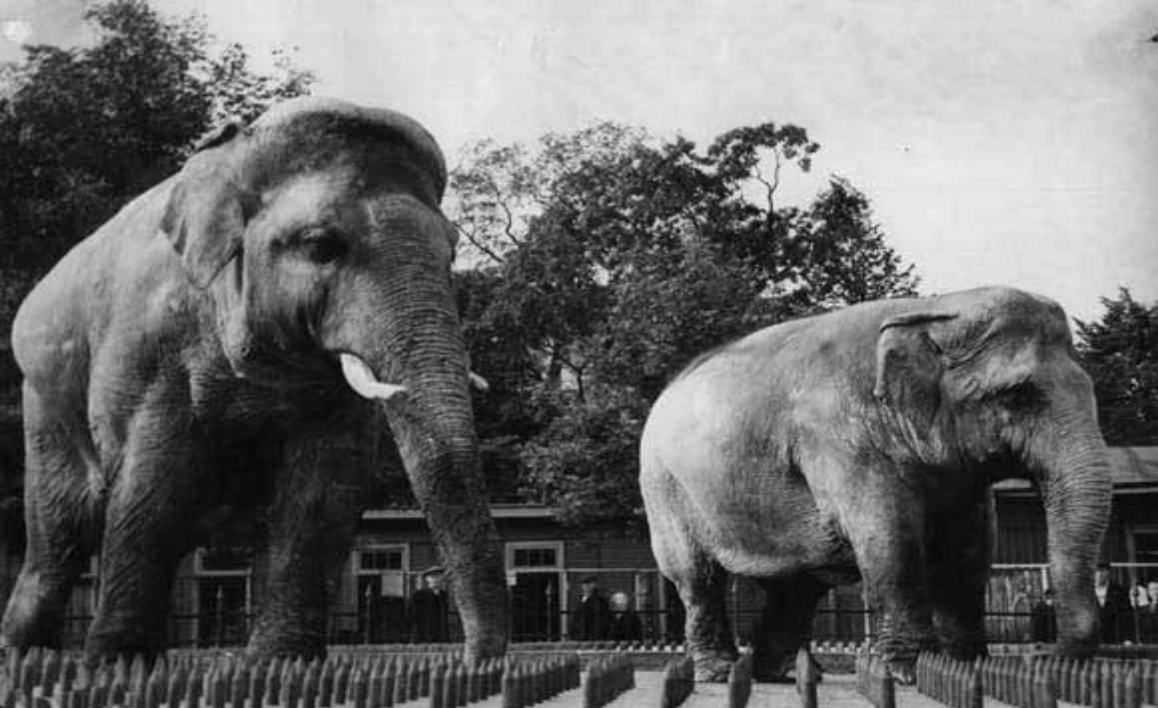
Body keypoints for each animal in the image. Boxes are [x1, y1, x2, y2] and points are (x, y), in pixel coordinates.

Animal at [1, 96, 507, 662]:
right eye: (321, 245)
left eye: (452, 252)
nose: (470, 659)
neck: (235, 154)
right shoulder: (148, 346)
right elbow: (152, 483)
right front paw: (118, 663)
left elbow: (327, 485)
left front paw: (283, 663)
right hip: (44, 400)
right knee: (62, 533)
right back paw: (27, 655)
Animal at [643, 286, 1111, 681]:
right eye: (1016, 395)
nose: (1045, 658)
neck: (935, 310)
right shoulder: (842, 440)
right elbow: (890, 539)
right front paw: (908, 672)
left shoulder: (959, 477)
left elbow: (970, 549)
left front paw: (965, 668)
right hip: (664, 490)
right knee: (697, 577)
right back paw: (721, 672)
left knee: (796, 587)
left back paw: (783, 674)